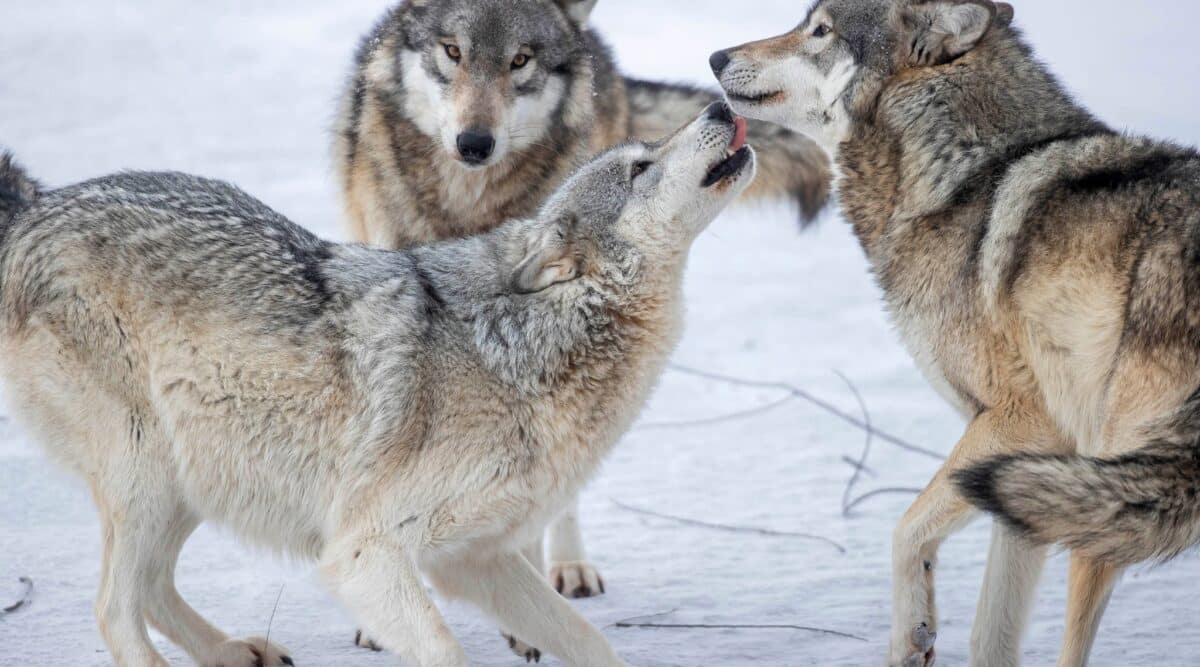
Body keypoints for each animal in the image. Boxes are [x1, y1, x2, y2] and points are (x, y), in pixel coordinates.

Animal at [0, 104, 756, 667]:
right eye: (641, 166)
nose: (721, 106)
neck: (522, 348)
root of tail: (37, 208)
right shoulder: (365, 553)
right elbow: (446, 650)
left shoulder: (475, 559)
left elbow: (589, 640)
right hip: (149, 477)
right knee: (114, 610)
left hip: (197, 480)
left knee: (153, 589)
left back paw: (232, 650)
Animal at [713, 1, 1200, 666]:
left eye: (820, 30)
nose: (716, 57)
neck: (962, 174)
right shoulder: (1024, 479)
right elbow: (990, 634)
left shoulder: (1022, 425)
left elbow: (904, 531)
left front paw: (910, 636)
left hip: (1110, 493)